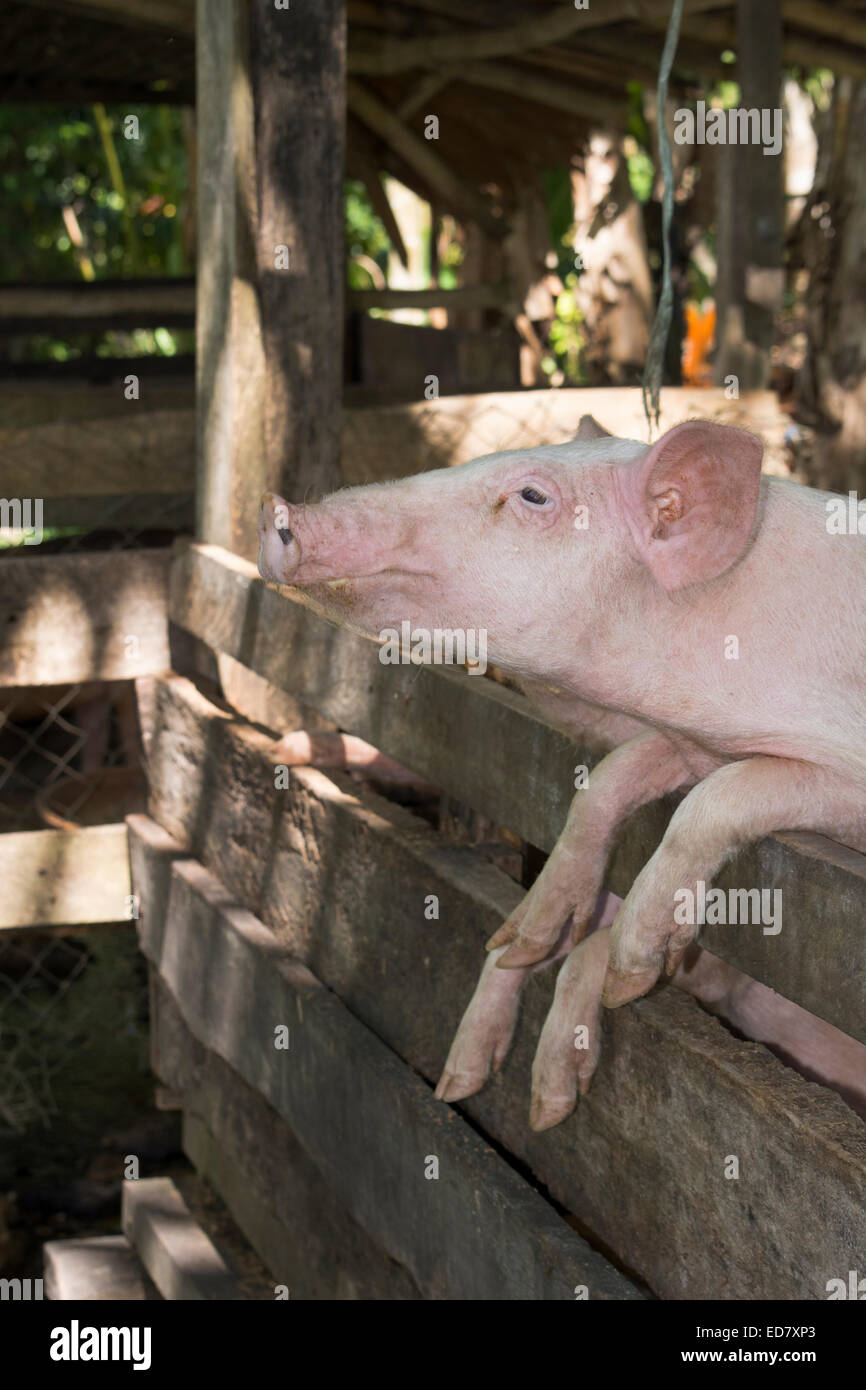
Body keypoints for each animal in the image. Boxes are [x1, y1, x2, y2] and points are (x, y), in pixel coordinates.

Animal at [257, 415, 866, 1131]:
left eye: (533, 496)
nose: (278, 509)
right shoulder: (687, 744)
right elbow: (611, 779)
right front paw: (484, 1074)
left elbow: (716, 801)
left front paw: (629, 978)